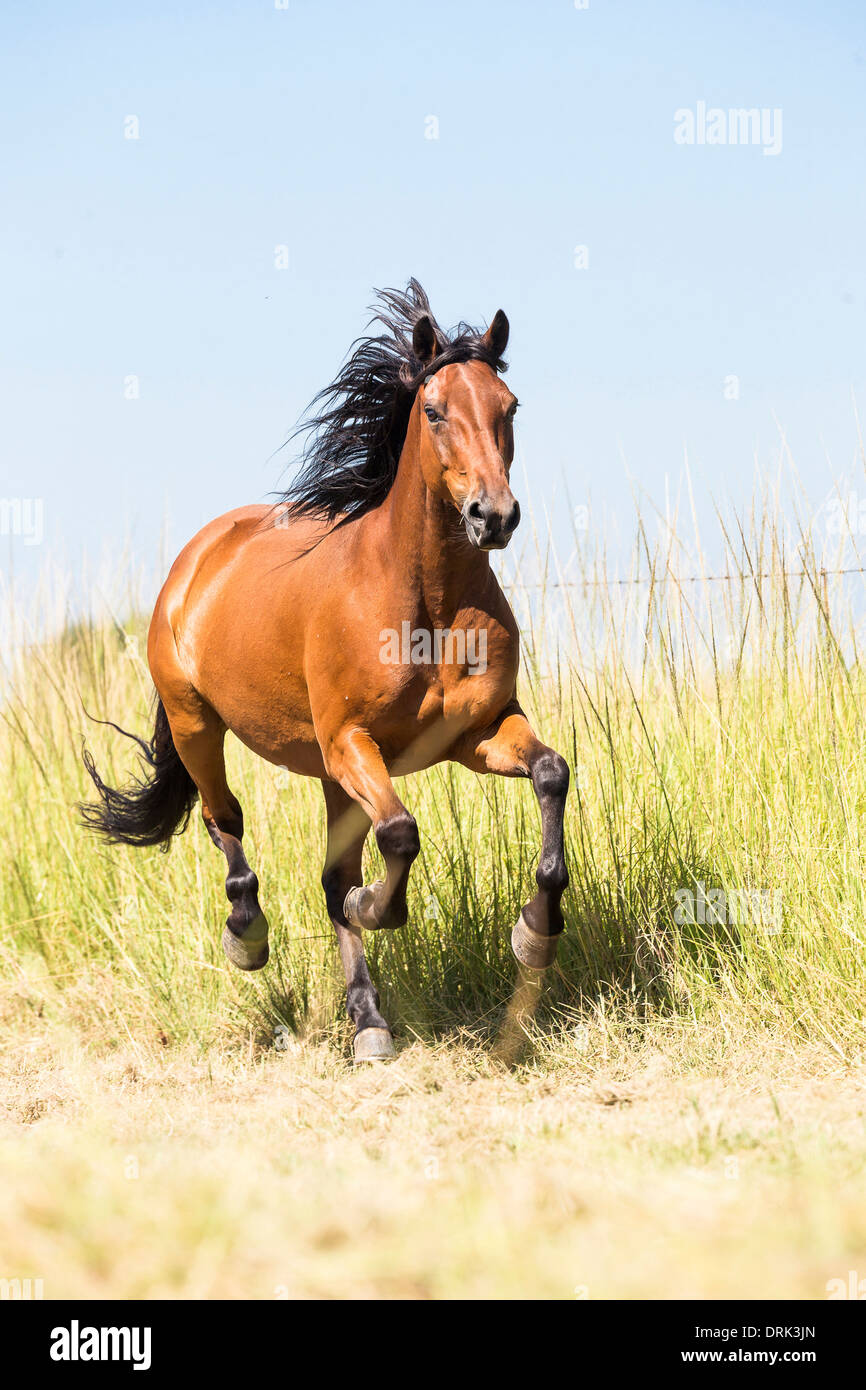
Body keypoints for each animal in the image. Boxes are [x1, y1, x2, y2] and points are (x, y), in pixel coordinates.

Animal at [81, 280, 570, 1060]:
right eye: (434, 410)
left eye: (510, 406)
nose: (492, 516)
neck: (421, 605)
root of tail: (198, 558)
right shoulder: (351, 743)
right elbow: (399, 836)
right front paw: (377, 907)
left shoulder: (480, 733)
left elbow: (551, 772)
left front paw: (535, 933)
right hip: (202, 727)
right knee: (226, 820)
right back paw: (249, 937)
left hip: (332, 775)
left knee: (328, 873)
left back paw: (369, 1023)